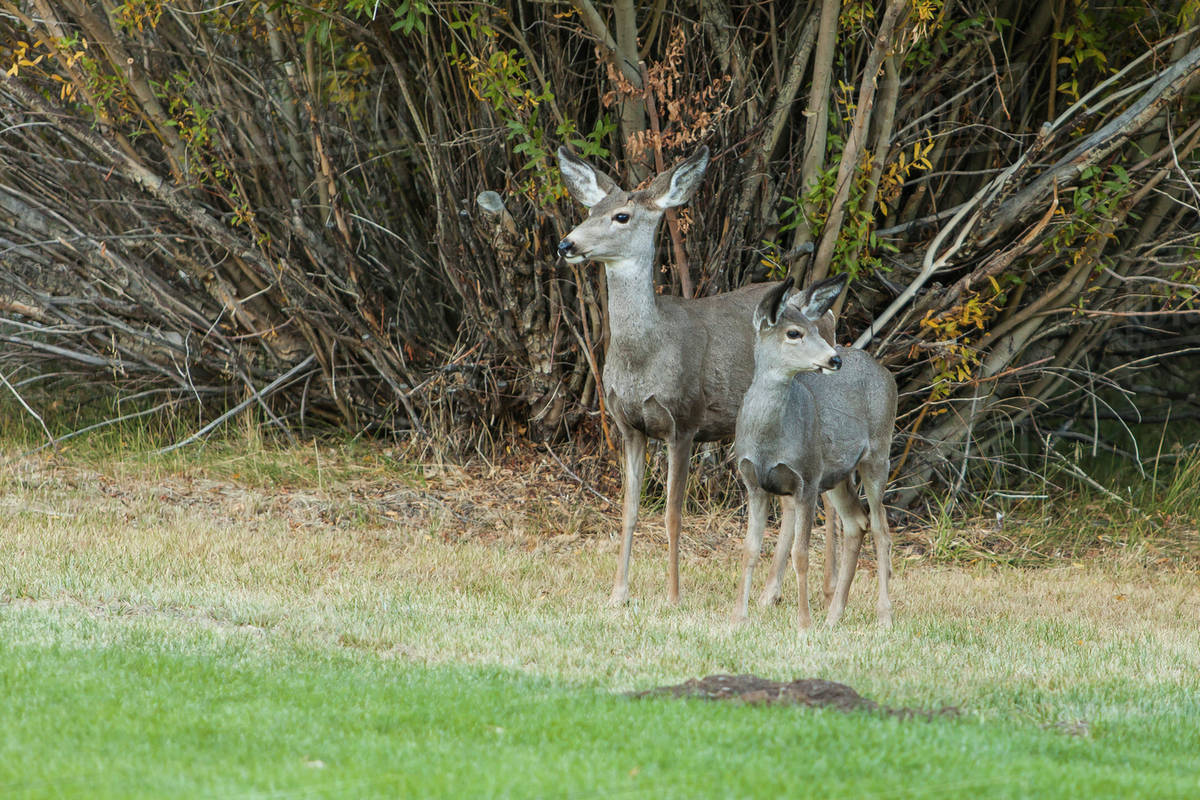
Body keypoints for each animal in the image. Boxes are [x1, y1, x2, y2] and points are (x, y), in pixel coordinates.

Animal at [556, 144, 838, 606]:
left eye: (622, 216)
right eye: (590, 209)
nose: (567, 243)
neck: (644, 355)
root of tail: (823, 312)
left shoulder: (684, 419)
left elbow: (673, 514)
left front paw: (673, 596)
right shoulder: (628, 425)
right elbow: (629, 510)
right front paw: (618, 594)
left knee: (826, 496)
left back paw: (826, 592)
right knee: (792, 502)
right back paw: (770, 594)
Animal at [733, 274, 897, 629]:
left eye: (818, 330)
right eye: (794, 333)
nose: (834, 359)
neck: (770, 438)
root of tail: (884, 371)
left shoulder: (806, 479)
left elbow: (801, 554)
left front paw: (804, 622)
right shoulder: (753, 482)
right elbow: (750, 549)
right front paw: (738, 617)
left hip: (878, 452)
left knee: (881, 528)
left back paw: (884, 616)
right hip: (837, 474)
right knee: (856, 522)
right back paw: (834, 615)